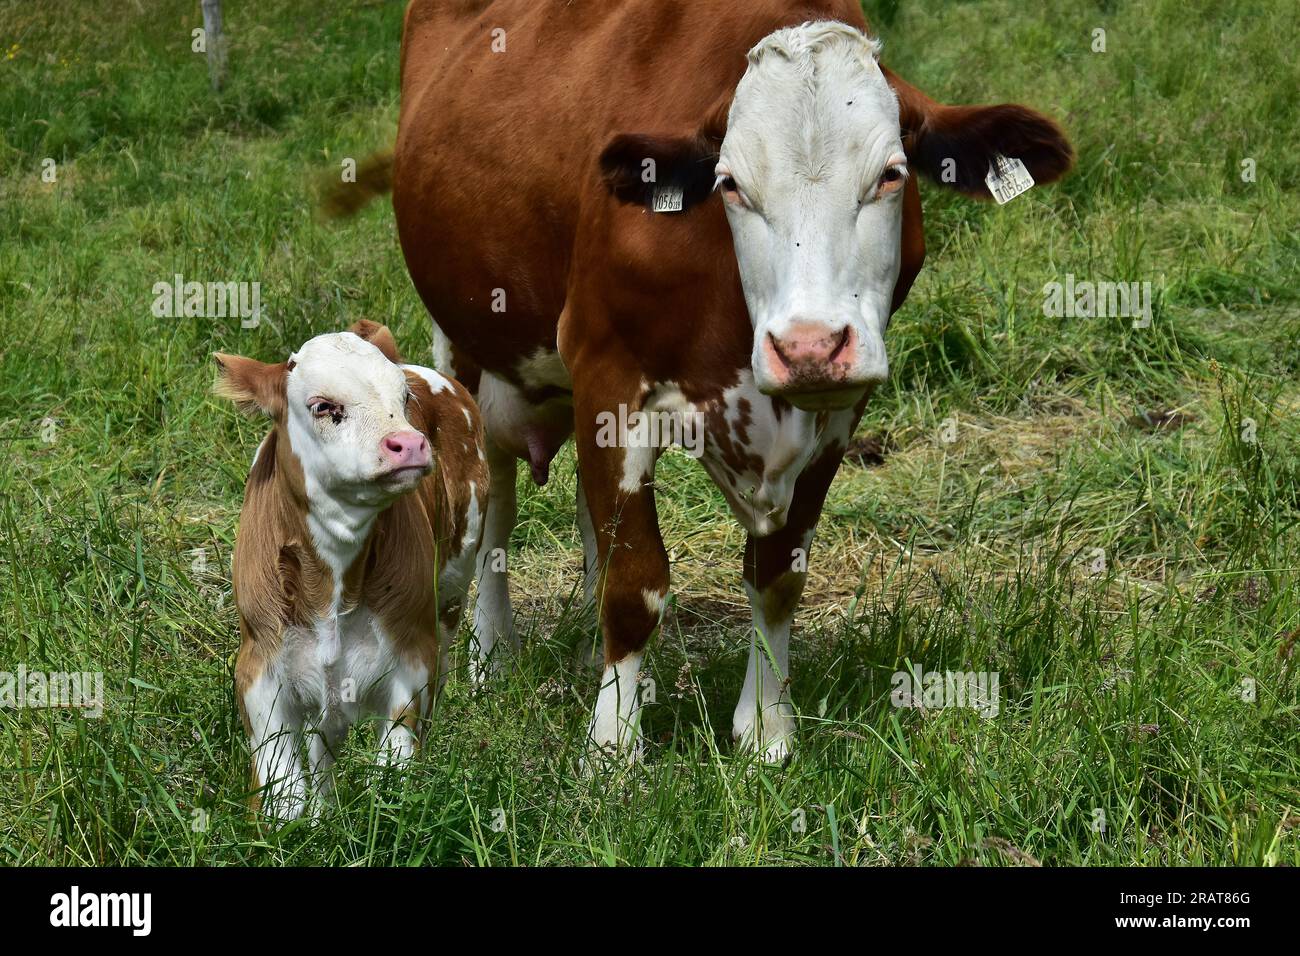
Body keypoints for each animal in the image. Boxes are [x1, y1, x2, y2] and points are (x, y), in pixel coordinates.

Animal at [215, 320, 487, 818]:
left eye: (403, 398)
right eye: (323, 406)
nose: (410, 444)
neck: (334, 577)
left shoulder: (413, 658)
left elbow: (394, 771)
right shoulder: (259, 667)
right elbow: (284, 790)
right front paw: (303, 824)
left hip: (454, 585)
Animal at [336, 0, 1073, 764]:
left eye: (892, 174)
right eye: (731, 184)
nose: (809, 346)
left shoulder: (839, 411)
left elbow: (776, 574)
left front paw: (766, 731)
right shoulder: (610, 376)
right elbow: (635, 582)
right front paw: (613, 747)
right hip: (464, 346)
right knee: (495, 506)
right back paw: (491, 656)